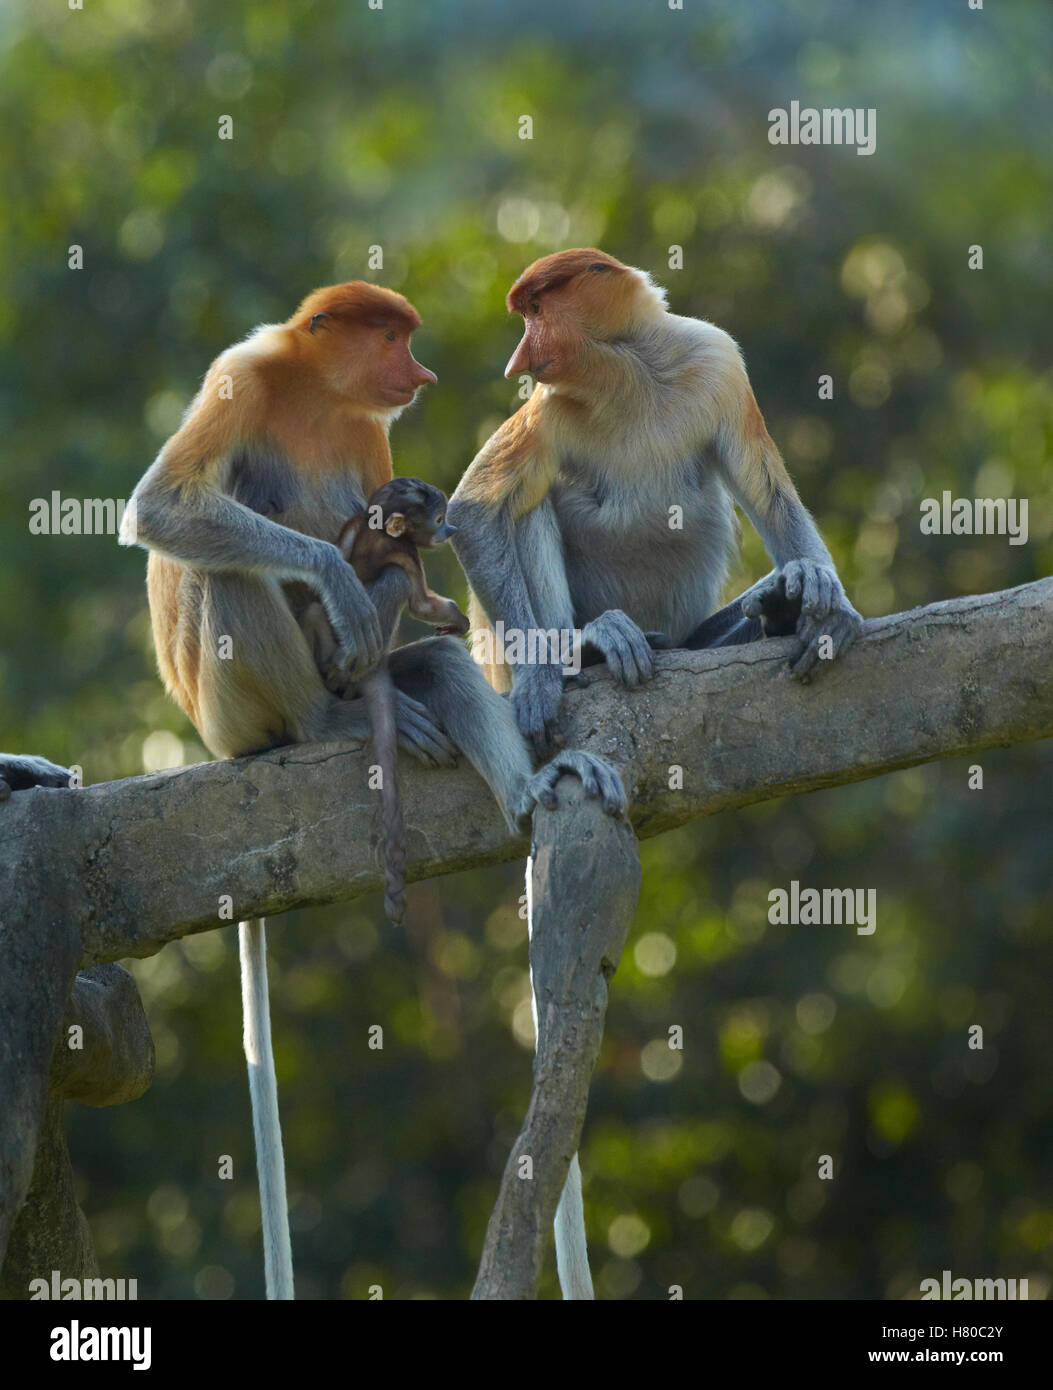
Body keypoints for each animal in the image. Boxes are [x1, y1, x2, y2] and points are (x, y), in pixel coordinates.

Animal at [297, 477, 470, 927]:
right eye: (439, 519)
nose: (452, 530)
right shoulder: (407, 553)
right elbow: (421, 600)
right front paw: (456, 619)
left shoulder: (351, 528)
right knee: (393, 581)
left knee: (315, 614)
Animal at [447, 249, 863, 1298]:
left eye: (536, 312)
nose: (517, 359)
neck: (628, 370)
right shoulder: (549, 412)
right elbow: (476, 511)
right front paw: (550, 675)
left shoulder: (714, 361)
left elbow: (761, 481)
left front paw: (822, 596)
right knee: (534, 508)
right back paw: (588, 650)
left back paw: (749, 617)